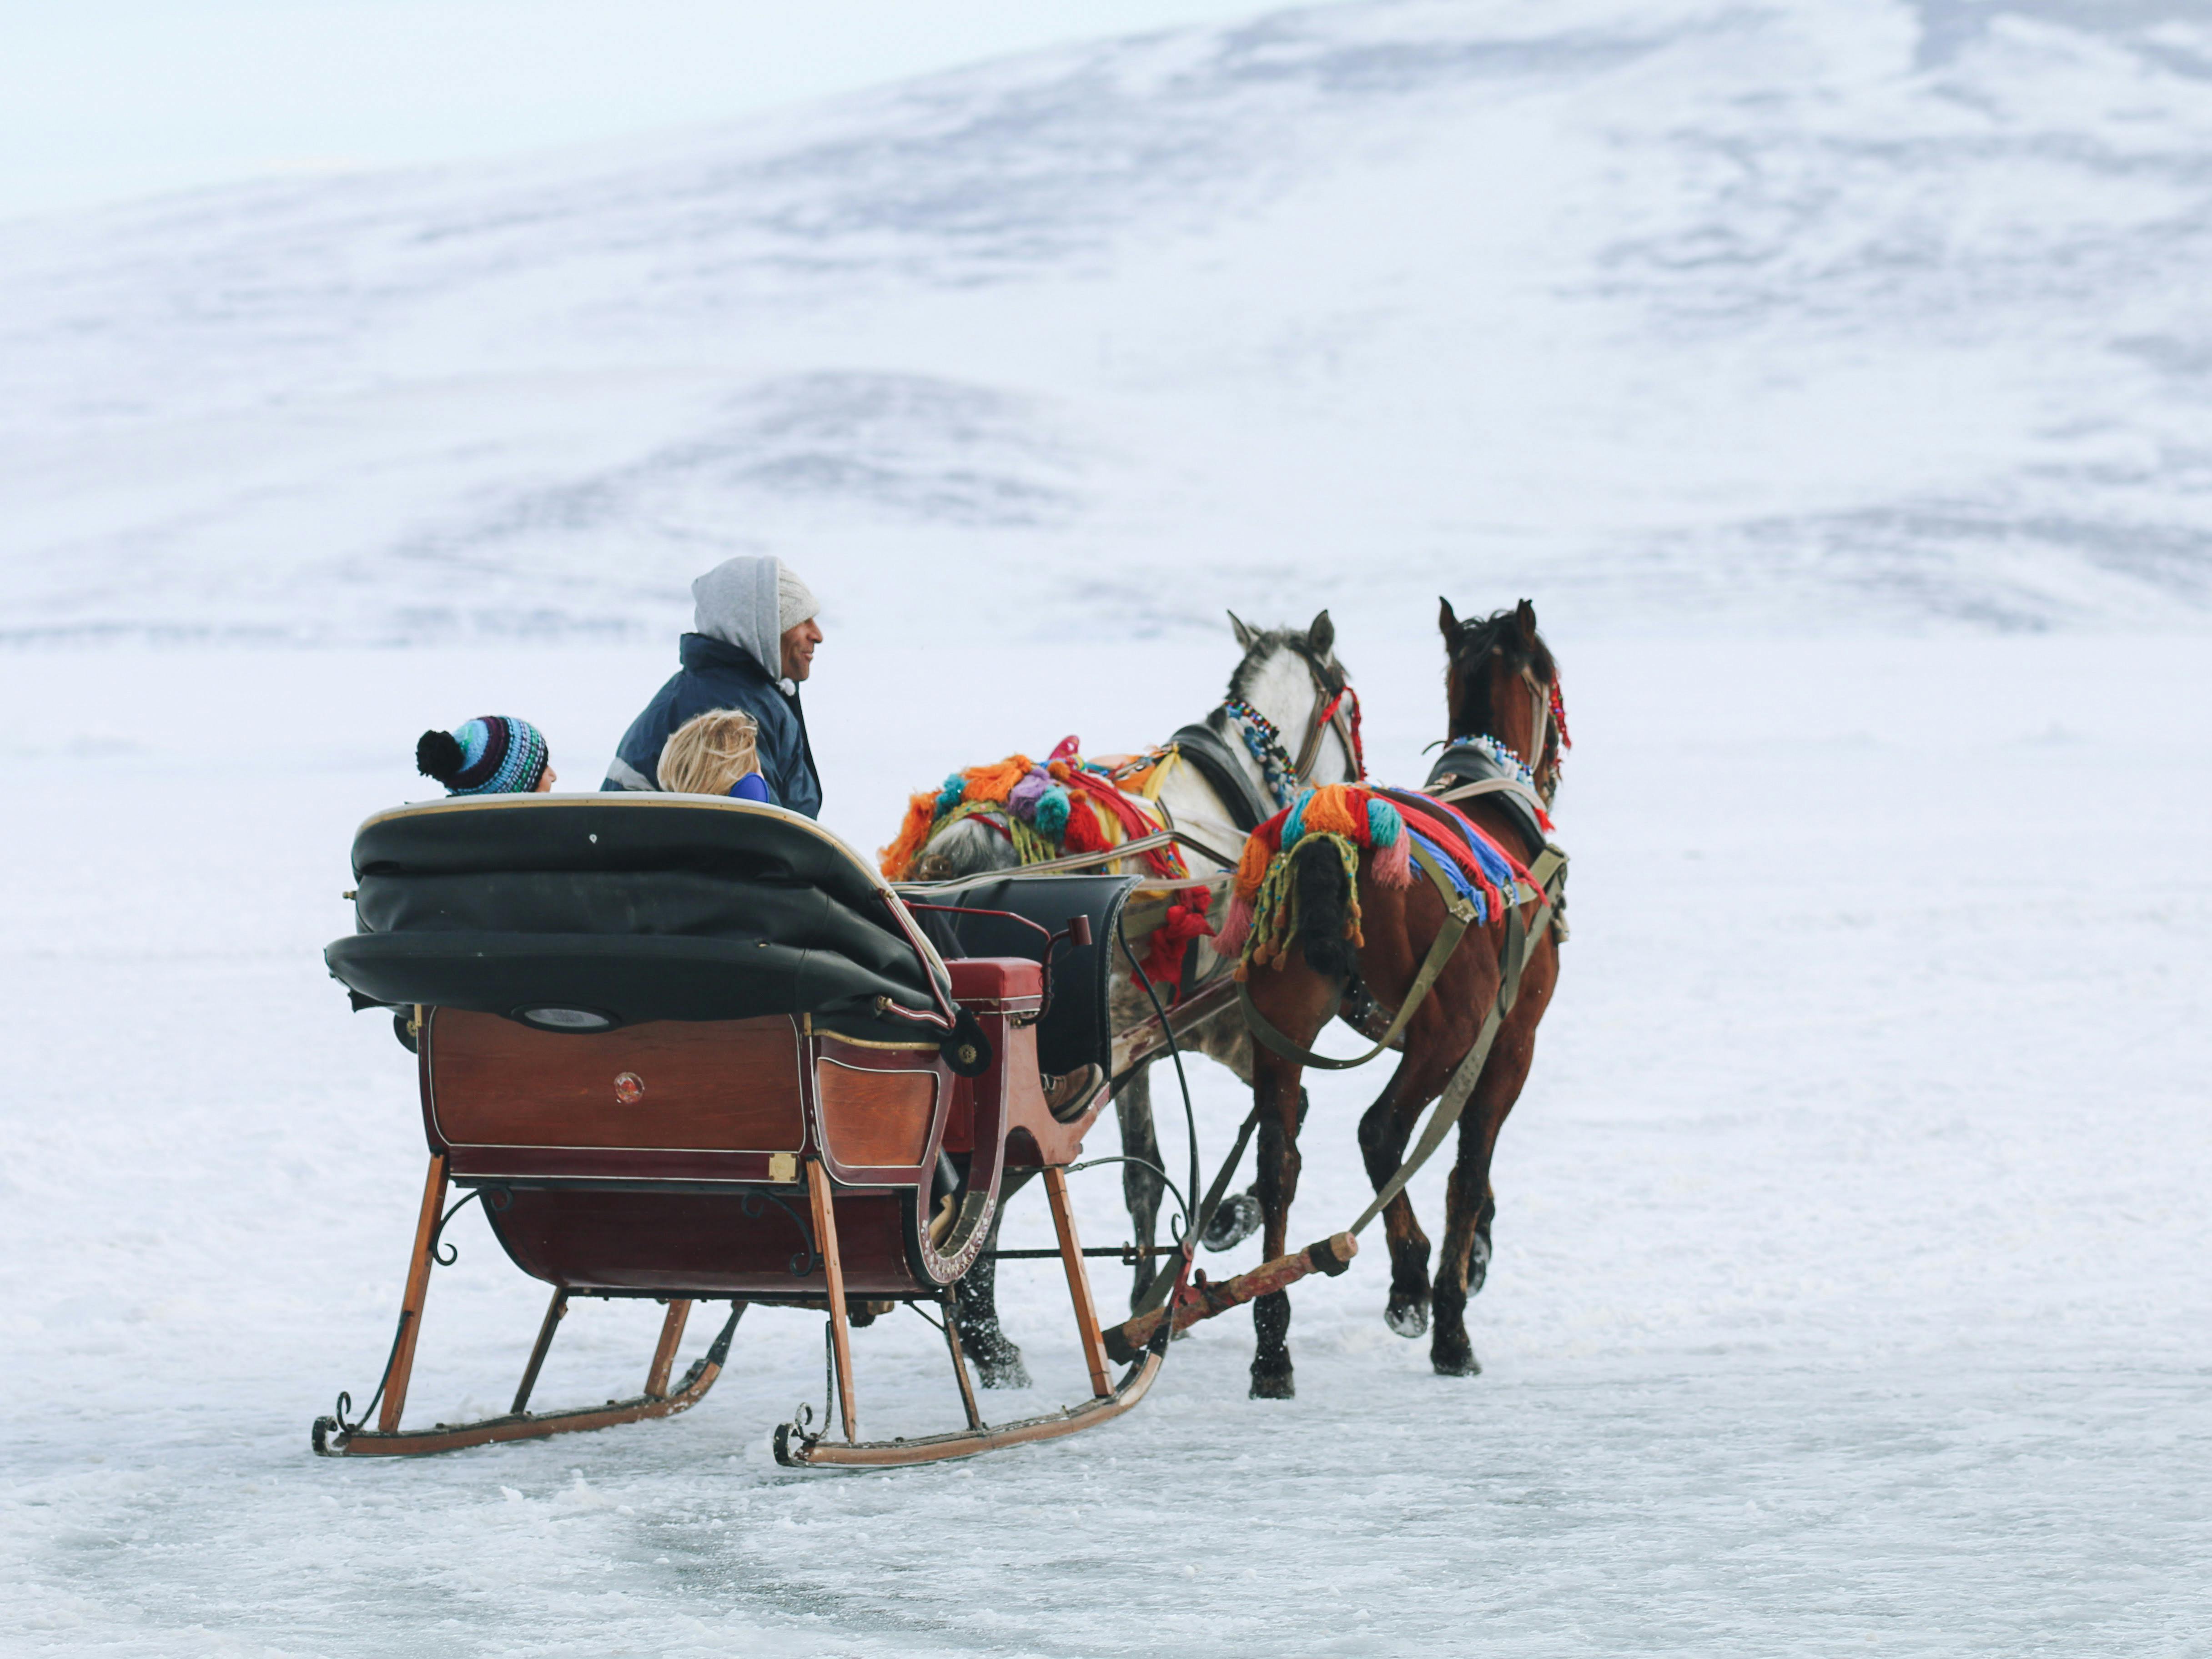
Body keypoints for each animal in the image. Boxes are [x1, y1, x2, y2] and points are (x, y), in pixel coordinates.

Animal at [896, 611, 1363, 1387]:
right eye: (1351, 709)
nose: (1359, 781)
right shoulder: (1214, 1028)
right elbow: (1279, 1125)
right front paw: (1218, 1230)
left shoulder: (1135, 1046)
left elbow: (1144, 1173)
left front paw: (1157, 1283)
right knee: (992, 1172)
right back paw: (989, 1339)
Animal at [1232, 598, 1567, 1397]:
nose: (1550, 778)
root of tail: (1331, 835)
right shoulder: (1510, 1040)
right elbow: (1468, 1170)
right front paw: (1452, 1293)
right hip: (1446, 1032)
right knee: (1380, 1131)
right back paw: (1419, 1292)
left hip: (1282, 1028)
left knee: (1279, 1162)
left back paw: (1272, 1345)